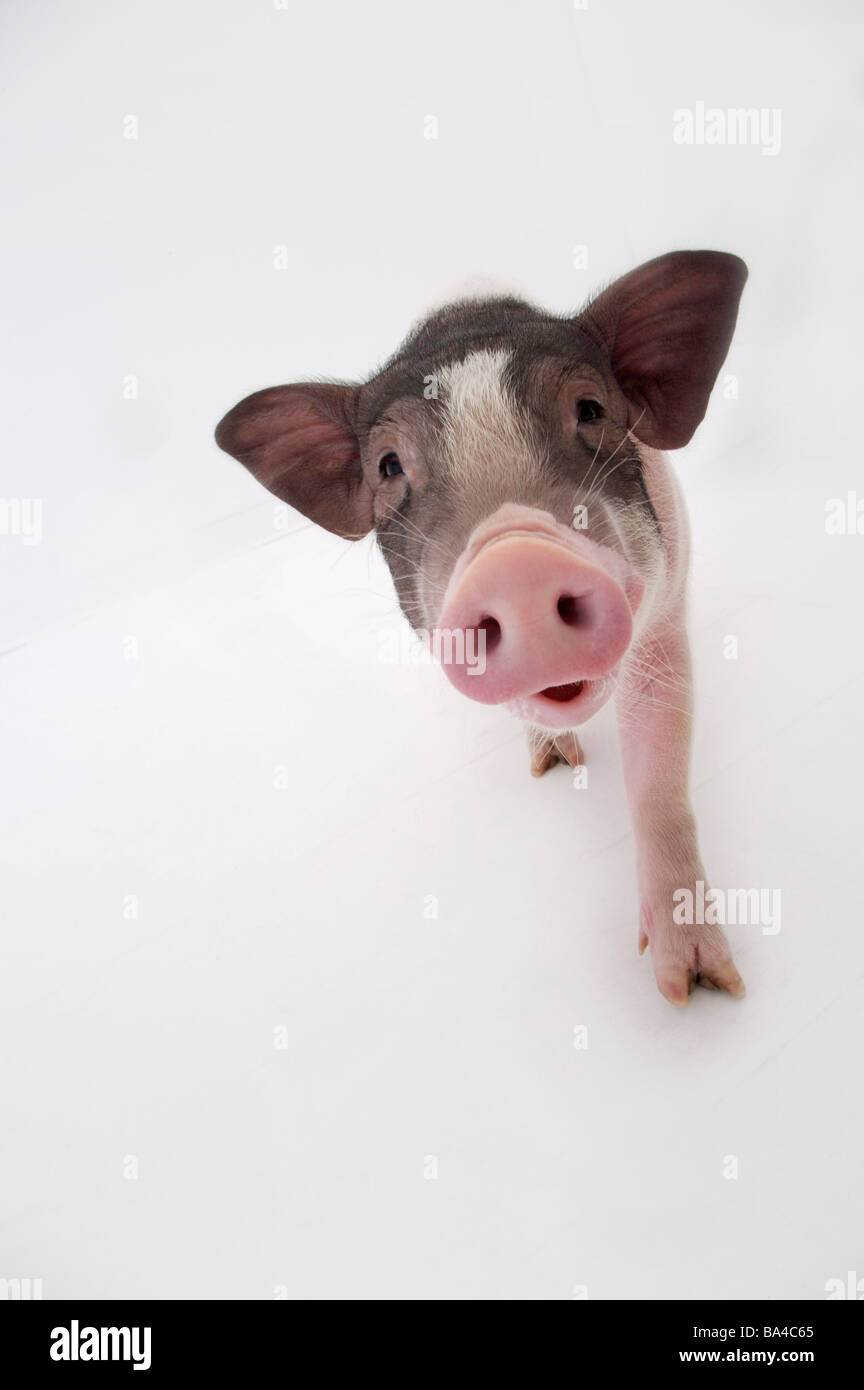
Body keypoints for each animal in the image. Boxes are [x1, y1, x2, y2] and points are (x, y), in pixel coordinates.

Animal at [216, 250, 748, 1006]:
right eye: (389, 466)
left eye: (591, 409)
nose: (515, 555)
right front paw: (553, 768)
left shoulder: (667, 615)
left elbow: (659, 776)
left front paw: (701, 989)